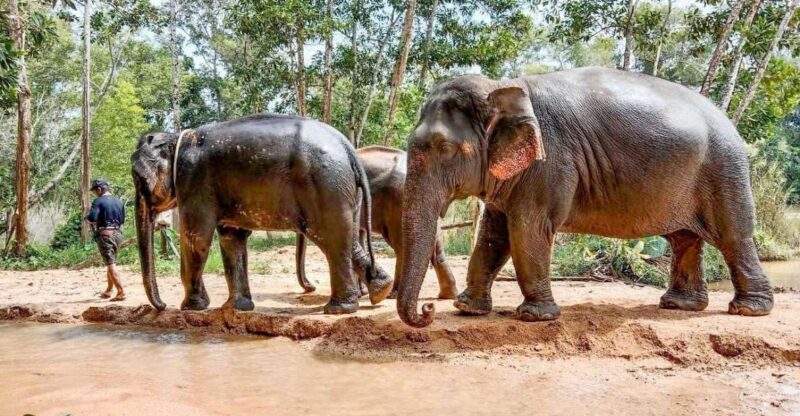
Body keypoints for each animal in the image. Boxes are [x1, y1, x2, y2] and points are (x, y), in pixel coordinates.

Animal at [130, 114, 393, 315]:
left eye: (138, 179)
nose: (162, 306)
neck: (178, 138)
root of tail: (347, 148)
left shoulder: (194, 182)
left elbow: (197, 240)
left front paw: (191, 308)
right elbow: (232, 239)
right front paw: (236, 308)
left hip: (325, 184)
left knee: (330, 238)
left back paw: (338, 309)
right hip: (342, 191)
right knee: (345, 237)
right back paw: (381, 290)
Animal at [294, 145, 458, 300]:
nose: (311, 287)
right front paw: (362, 293)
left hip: (399, 201)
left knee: (401, 246)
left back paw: (394, 294)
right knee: (436, 248)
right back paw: (447, 295)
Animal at [395, 66, 774, 328]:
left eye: (445, 148)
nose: (428, 310)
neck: (501, 86)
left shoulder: (551, 163)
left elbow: (529, 230)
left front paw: (535, 317)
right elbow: (493, 236)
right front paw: (467, 308)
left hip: (724, 169)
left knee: (733, 236)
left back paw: (748, 309)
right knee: (684, 239)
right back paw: (678, 306)